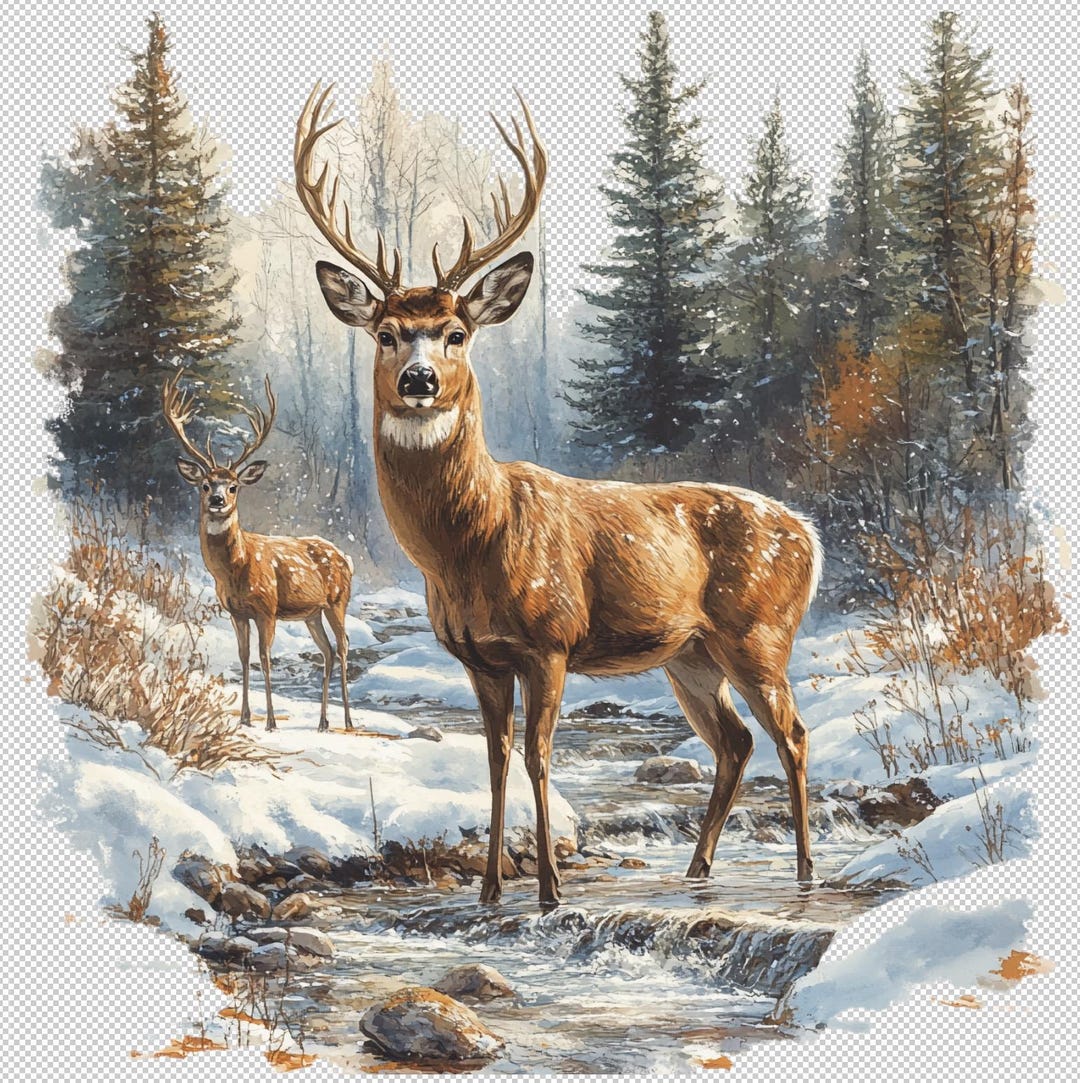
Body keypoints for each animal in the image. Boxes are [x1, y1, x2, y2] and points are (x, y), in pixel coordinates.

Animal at [162, 370, 355, 734]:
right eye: (205, 484)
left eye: (233, 486)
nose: (217, 500)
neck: (236, 569)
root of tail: (347, 558)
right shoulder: (236, 612)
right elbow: (244, 658)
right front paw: (245, 717)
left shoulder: (267, 608)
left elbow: (265, 659)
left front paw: (270, 722)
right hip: (312, 612)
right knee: (327, 652)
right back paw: (323, 721)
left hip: (337, 601)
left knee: (344, 647)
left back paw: (348, 721)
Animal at [296, 84, 823, 906]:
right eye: (385, 333)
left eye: (455, 332)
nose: (419, 381)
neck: (468, 545)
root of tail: (810, 534)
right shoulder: (478, 655)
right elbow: (495, 758)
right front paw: (489, 889)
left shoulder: (551, 640)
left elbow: (541, 756)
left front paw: (546, 888)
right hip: (691, 652)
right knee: (736, 741)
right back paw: (697, 868)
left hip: (759, 632)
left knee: (790, 735)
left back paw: (802, 871)